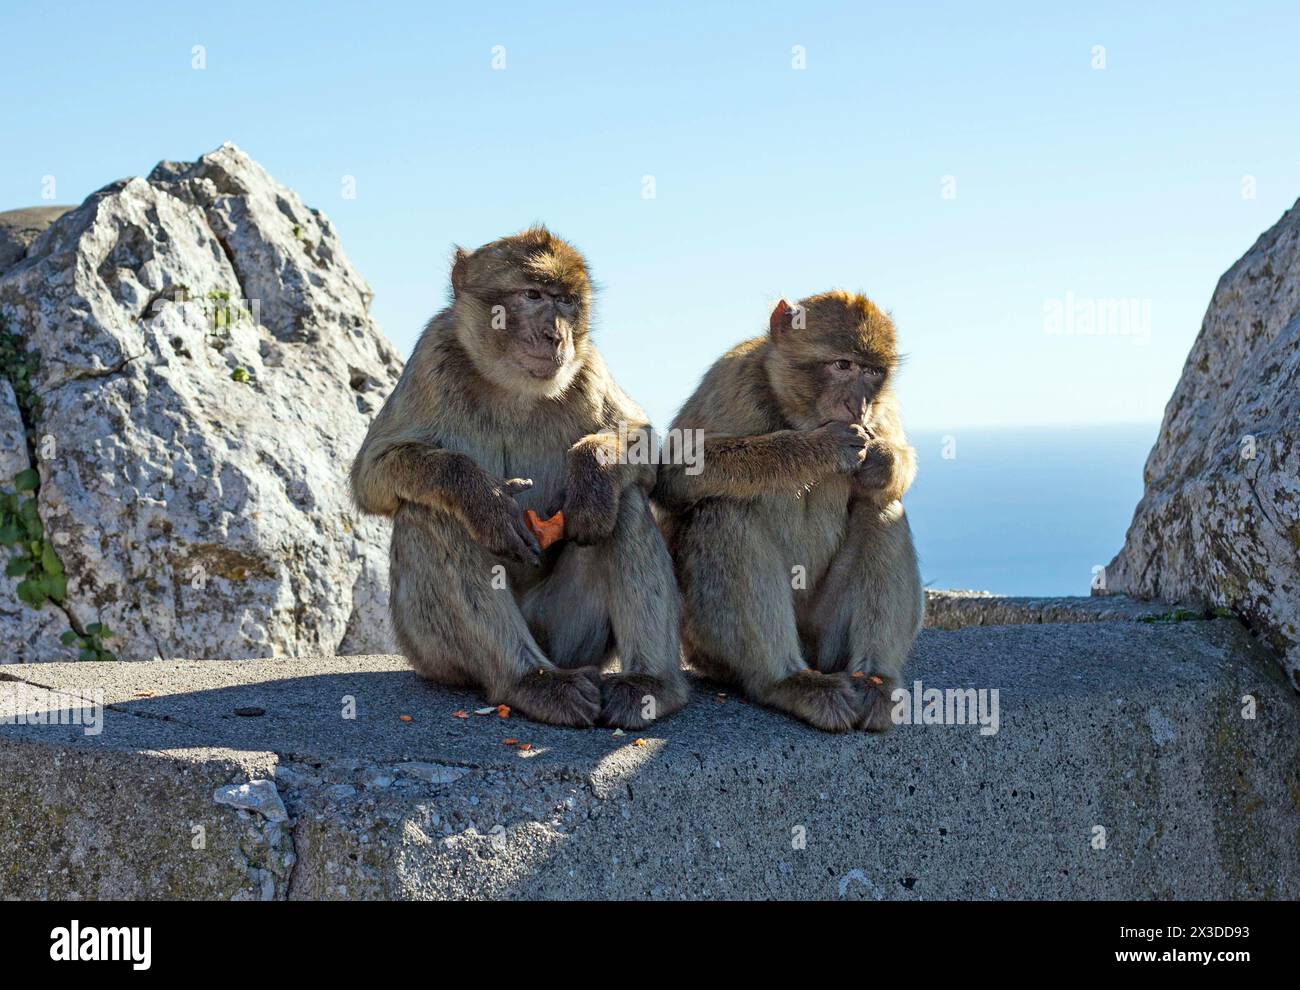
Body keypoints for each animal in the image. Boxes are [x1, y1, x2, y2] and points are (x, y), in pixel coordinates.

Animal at [350, 227, 686, 730]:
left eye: (566, 301)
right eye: (532, 295)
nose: (556, 335)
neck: (512, 387)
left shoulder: (586, 365)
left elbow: (645, 450)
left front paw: (591, 473)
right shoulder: (432, 354)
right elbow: (372, 473)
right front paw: (483, 499)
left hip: (570, 638)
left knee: (623, 503)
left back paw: (651, 686)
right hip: (428, 650)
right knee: (433, 513)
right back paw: (530, 681)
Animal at [654, 291, 922, 733]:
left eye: (871, 371)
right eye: (842, 365)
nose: (859, 404)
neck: (801, 414)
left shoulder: (884, 408)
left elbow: (894, 477)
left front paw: (879, 460)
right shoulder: (732, 380)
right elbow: (676, 475)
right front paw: (817, 449)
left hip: (824, 639)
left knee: (880, 508)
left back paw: (874, 680)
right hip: (703, 641)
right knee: (727, 510)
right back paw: (785, 681)